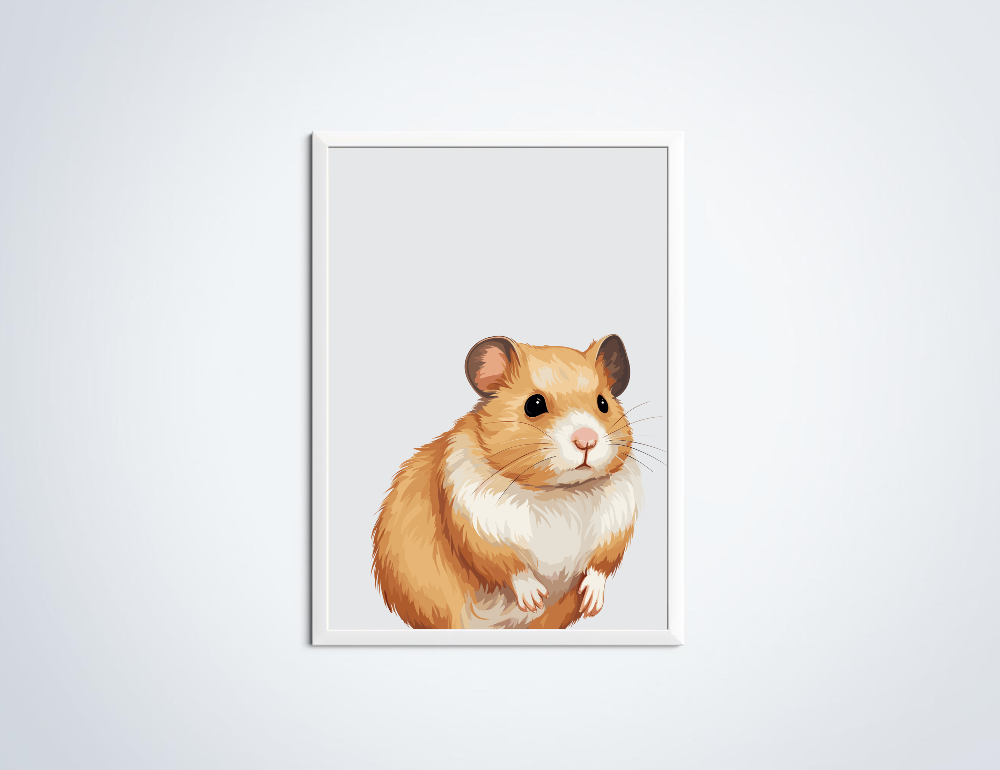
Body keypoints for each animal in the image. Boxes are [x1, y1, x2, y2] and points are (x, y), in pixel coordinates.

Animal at [372, 334, 643, 629]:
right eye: (534, 404)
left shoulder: (615, 531)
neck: (559, 492)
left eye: (603, 403)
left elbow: (599, 568)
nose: (587, 441)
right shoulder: (478, 530)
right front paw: (535, 599)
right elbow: (512, 568)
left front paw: (592, 605)